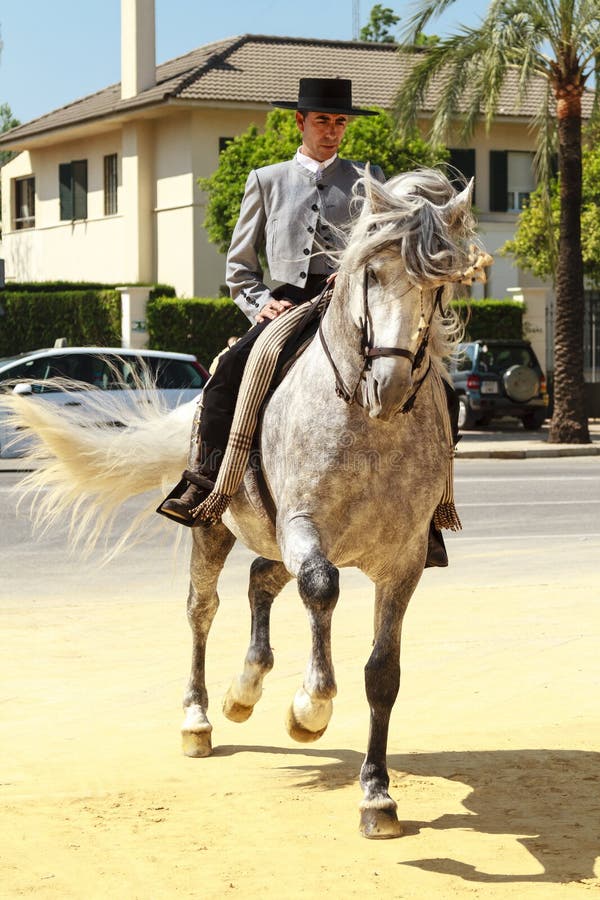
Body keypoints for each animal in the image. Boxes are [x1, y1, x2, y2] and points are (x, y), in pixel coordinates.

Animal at [6, 168, 489, 839]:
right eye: (371, 272)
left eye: (439, 285)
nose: (388, 387)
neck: (367, 426)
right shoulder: (304, 527)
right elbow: (321, 590)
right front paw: (309, 708)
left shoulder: (404, 562)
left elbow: (382, 674)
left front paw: (376, 795)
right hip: (214, 526)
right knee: (203, 609)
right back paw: (201, 718)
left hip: (275, 536)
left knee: (262, 577)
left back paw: (245, 689)